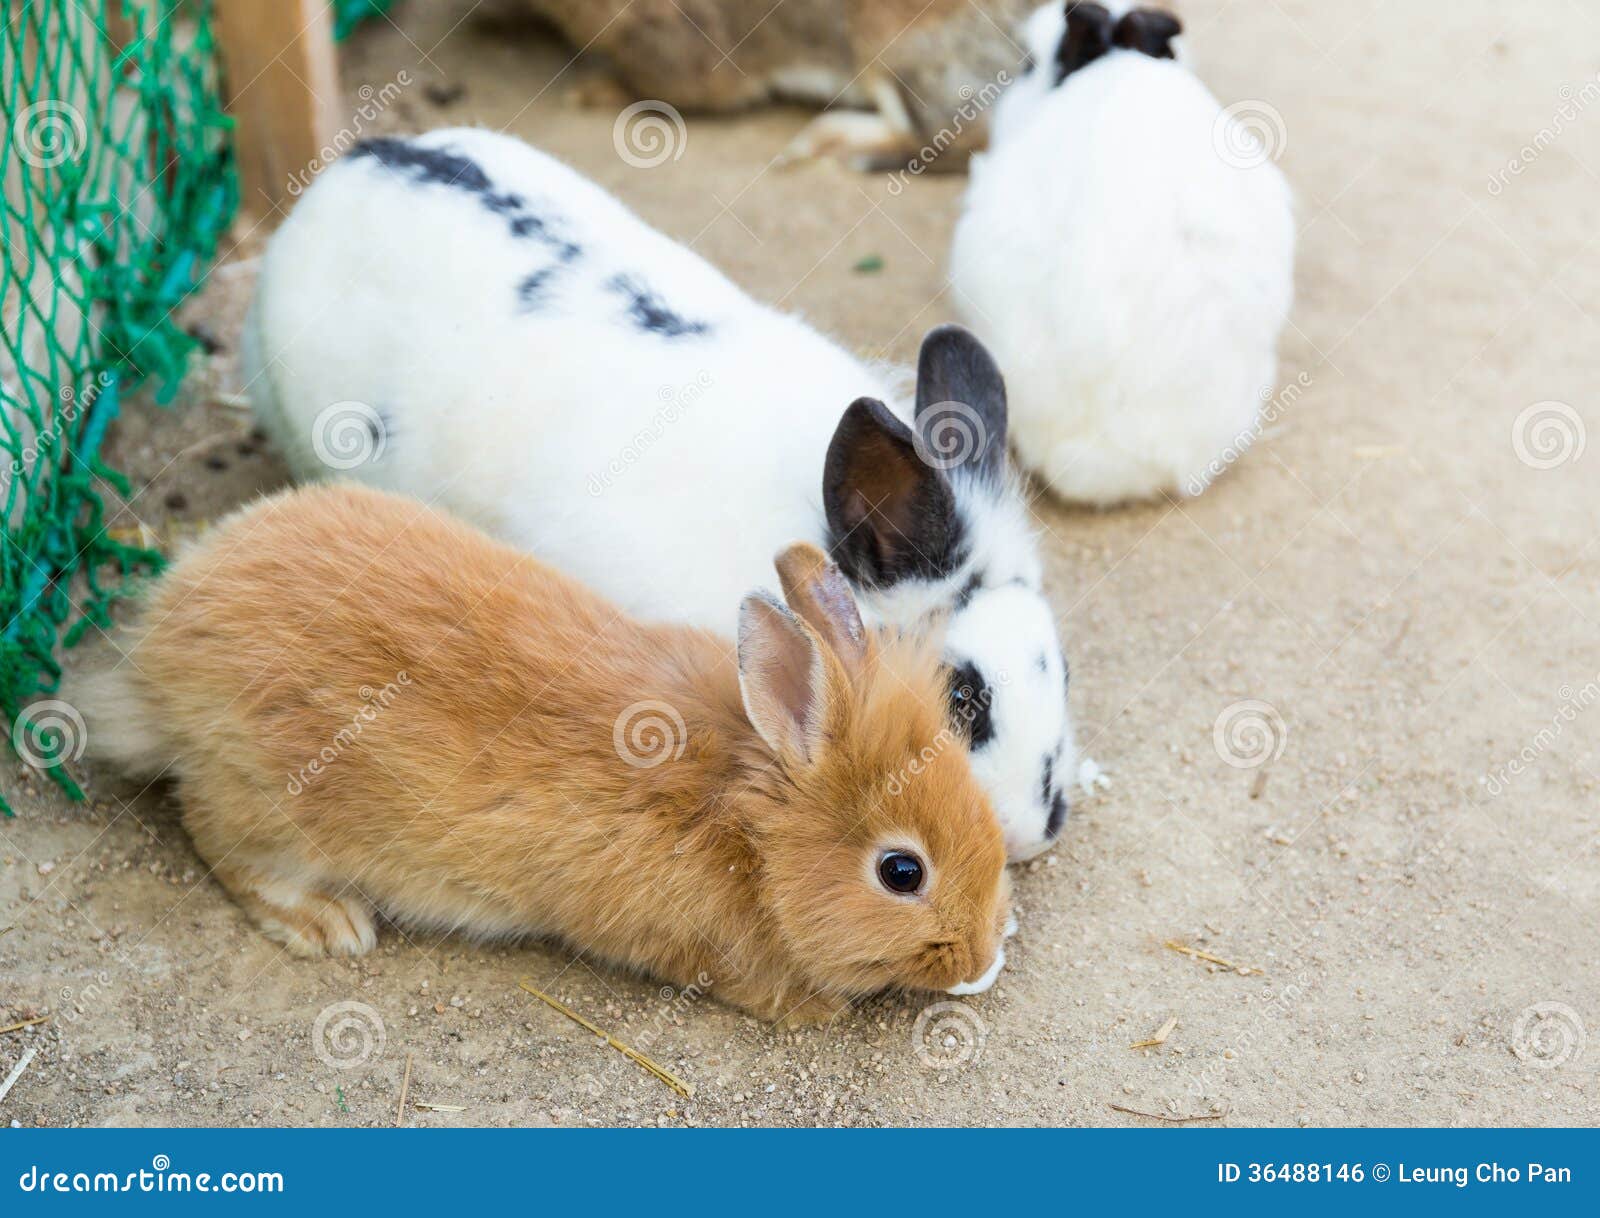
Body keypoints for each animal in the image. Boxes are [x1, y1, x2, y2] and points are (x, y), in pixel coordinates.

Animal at [79, 483, 1012, 1025]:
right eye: (901, 872)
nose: (978, 955)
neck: (748, 823)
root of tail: (161, 652)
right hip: (269, 806)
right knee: (223, 843)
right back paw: (328, 923)